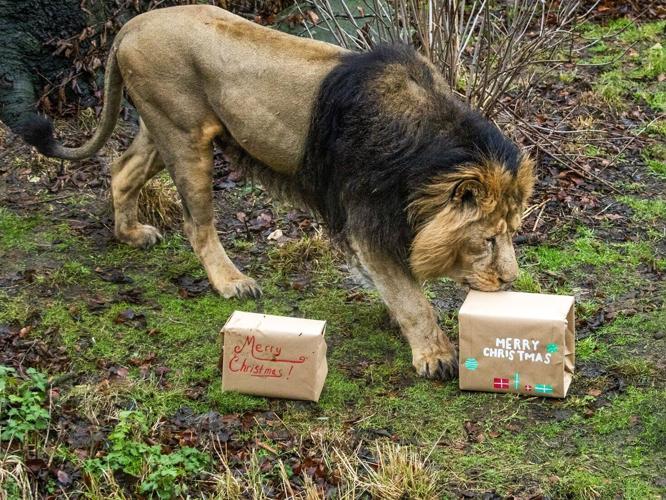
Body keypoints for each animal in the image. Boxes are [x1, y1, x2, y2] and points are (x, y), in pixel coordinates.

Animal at [19, 5, 535, 380]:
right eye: (487, 240)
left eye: (512, 233)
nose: (511, 281)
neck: (426, 155)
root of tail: (132, 24)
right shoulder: (365, 219)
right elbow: (411, 297)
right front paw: (435, 354)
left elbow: (400, 286)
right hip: (184, 137)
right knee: (196, 223)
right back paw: (231, 281)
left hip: (159, 127)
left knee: (123, 171)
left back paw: (129, 234)